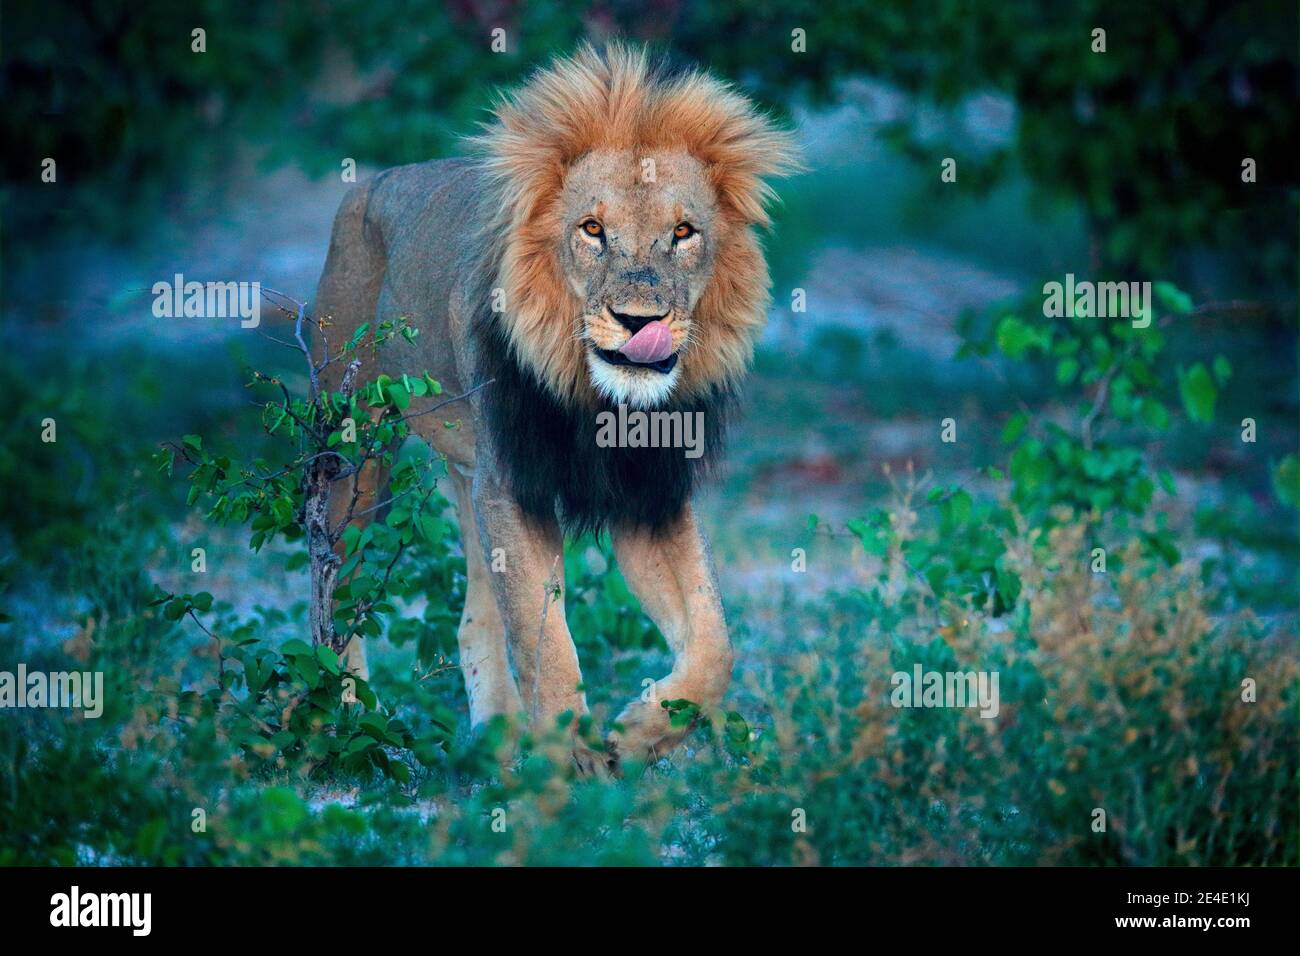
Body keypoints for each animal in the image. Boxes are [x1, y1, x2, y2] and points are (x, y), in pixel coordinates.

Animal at [311, 42, 799, 771]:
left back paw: (497, 742)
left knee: (473, 618)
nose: (638, 322)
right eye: (592, 230)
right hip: (355, 456)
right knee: (334, 595)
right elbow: (548, 645)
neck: (599, 402)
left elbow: (716, 644)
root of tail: (365, 187)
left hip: (466, 474)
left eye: (684, 232)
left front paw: (639, 733)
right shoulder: (514, 486)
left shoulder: (647, 496)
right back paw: (342, 732)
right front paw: (572, 760)